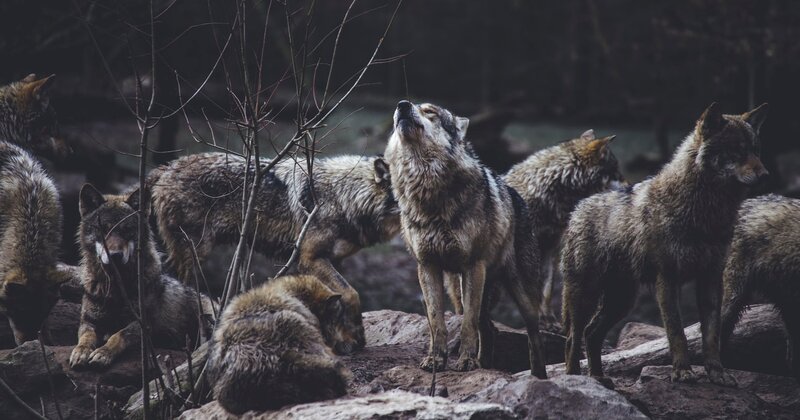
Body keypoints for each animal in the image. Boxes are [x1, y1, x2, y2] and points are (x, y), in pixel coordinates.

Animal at [69, 184, 215, 368]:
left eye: (127, 230)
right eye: (103, 229)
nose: (115, 255)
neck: (117, 288)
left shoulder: (144, 325)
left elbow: (118, 335)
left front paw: (103, 353)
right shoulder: (89, 321)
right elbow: (86, 337)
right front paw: (81, 351)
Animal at [148, 153, 400, 353]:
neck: (344, 196)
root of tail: (166, 167)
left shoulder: (334, 260)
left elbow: (339, 300)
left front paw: (347, 339)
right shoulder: (310, 258)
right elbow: (351, 294)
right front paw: (357, 336)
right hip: (194, 255)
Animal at [384, 100, 546, 377]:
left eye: (430, 111)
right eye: (406, 106)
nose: (402, 105)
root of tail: (517, 196)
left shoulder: (473, 266)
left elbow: (467, 324)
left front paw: (467, 362)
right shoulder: (427, 267)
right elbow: (436, 322)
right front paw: (436, 360)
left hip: (520, 294)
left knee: (533, 336)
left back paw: (538, 376)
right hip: (460, 289)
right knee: (489, 328)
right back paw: (486, 364)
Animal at [561, 103, 769, 388]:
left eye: (756, 150)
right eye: (736, 150)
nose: (765, 175)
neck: (705, 212)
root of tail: (578, 207)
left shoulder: (711, 279)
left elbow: (711, 335)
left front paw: (717, 373)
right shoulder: (667, 279)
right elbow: (676, 332)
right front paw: (682, 372)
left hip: (622, 301)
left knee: (592, 333)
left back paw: (599, 378)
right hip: (586, 295)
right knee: (574, 336)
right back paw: (575, 379)